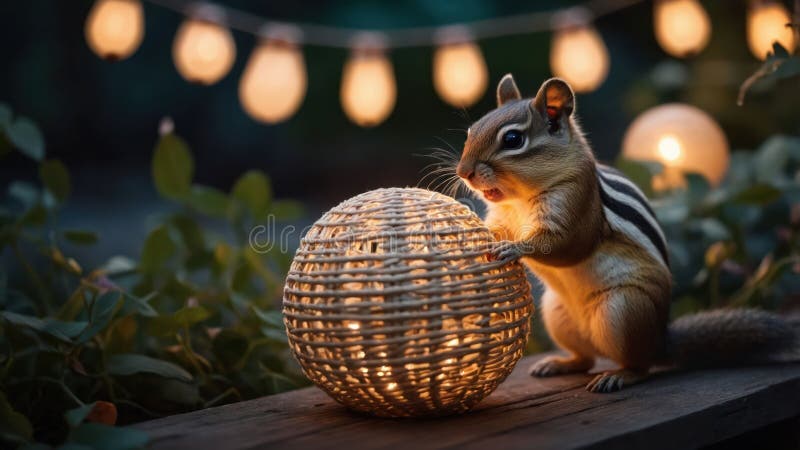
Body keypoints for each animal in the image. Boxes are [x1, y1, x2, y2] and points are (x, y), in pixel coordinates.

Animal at [454, 74, 800, 393]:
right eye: (471, 131)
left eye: (513, 139)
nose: (463, 172)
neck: (520, 200)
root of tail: (660, 339)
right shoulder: (503, 215)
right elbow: (495, 228)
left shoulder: (579, 204)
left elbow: (567, 245)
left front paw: (513, 248)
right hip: (557, 315)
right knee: (586, 359)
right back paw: (559, 364)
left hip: (623, 312)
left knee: (640, 365)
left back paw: (619, 376)